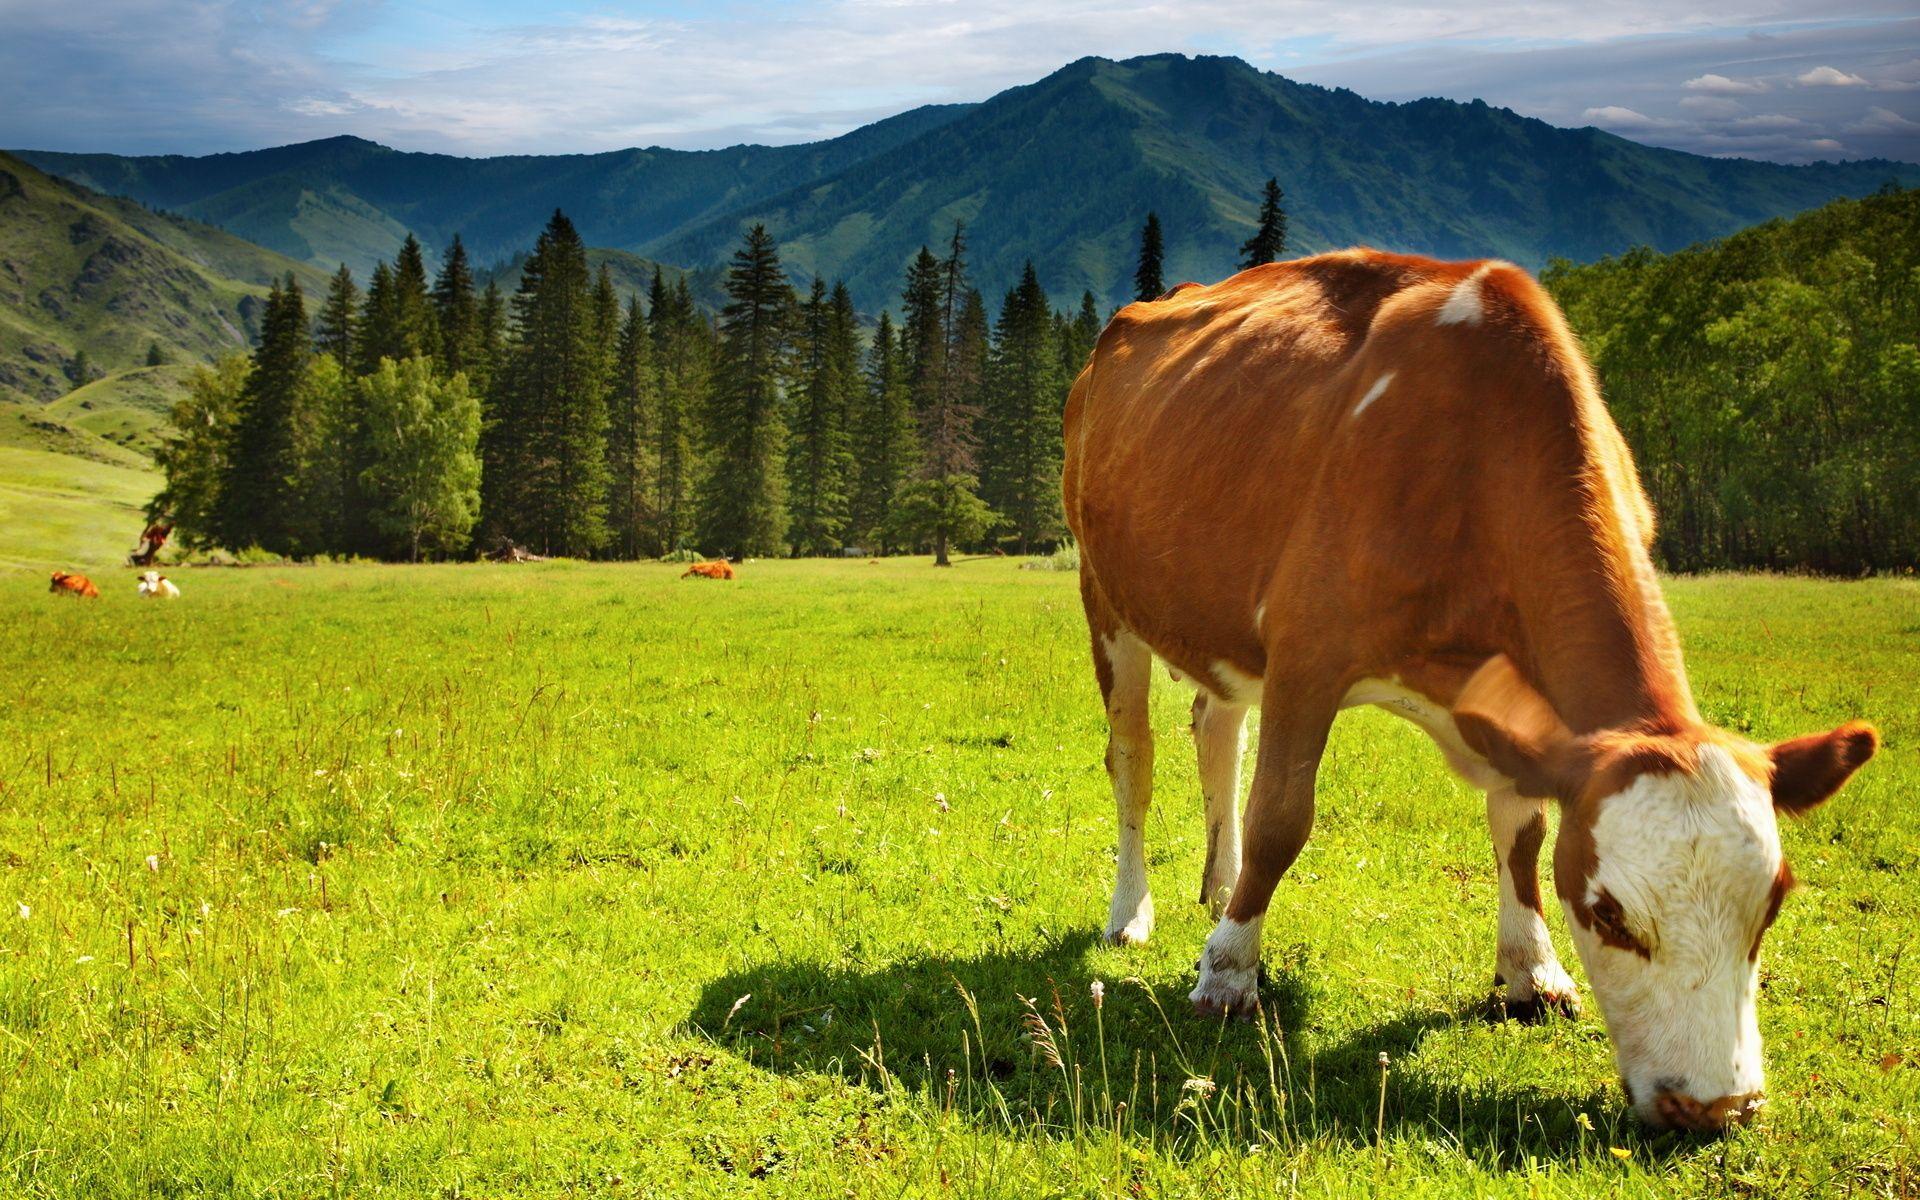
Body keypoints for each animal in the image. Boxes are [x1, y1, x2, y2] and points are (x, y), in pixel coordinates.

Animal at [1062, 249, 1878, 1133]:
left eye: (1774, 902)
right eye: (1608, 912)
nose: (1716, 1105)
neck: (1476, 464)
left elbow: (1522, 832)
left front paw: (1532, 971)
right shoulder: (1306, 650)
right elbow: (1280, 817)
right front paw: (1227, 974)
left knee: (1217, 729)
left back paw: (1218, 885)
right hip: (1105, 594)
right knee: (1134, 759)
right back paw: (1132, 913)